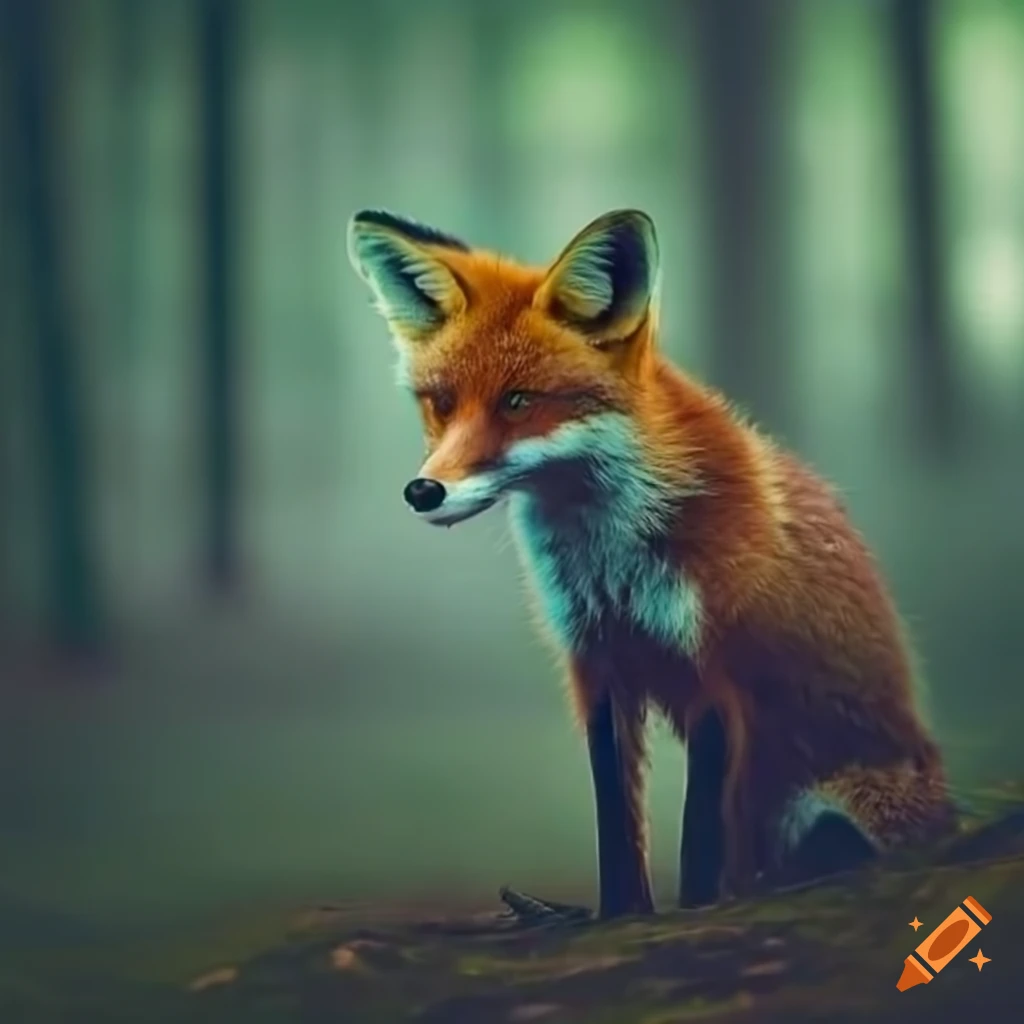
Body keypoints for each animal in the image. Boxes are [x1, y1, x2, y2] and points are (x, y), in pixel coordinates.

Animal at [347, 207, 955, 918]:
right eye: (441, 402)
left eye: (518, 401)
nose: (424, 492)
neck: (610, 564)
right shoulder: (595, 659)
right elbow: (615, 821)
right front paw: (618, 917)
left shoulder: (713, 670)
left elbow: (699, 838)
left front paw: (692, 913)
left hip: (833, 809)